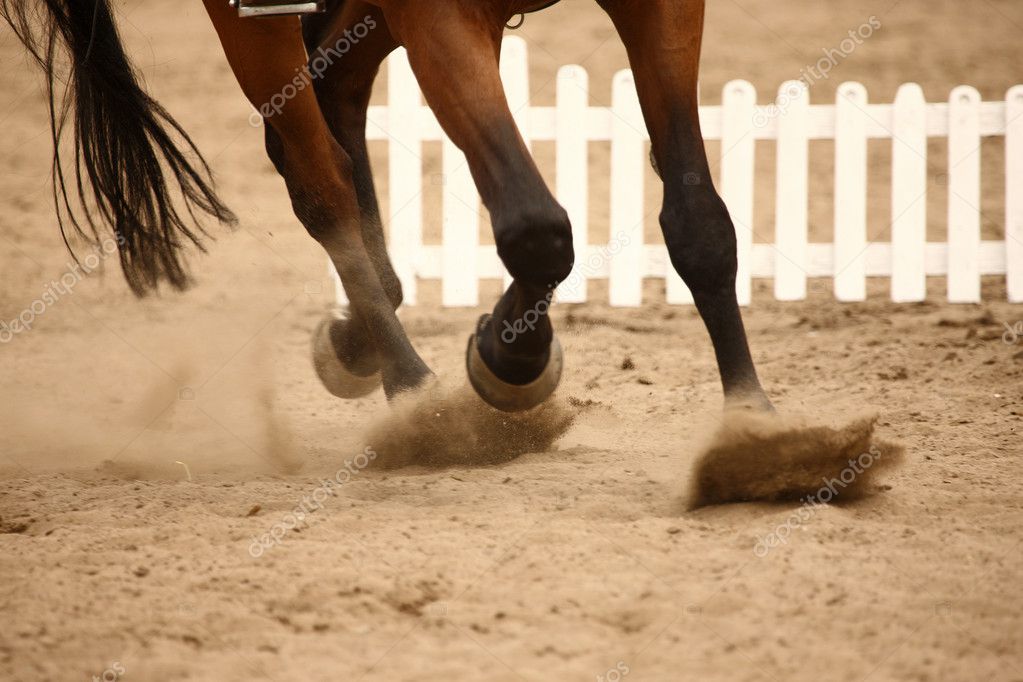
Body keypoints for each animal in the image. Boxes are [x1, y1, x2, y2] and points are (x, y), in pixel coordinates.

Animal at [1, 0, 772, 418]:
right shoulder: (439, 14)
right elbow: (535, 228)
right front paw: (506, 357)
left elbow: (700, 221)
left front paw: (749, 418)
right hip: (259, 24)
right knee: (320, 181)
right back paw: (411, 388)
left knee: (335, 89)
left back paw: (364, 335)